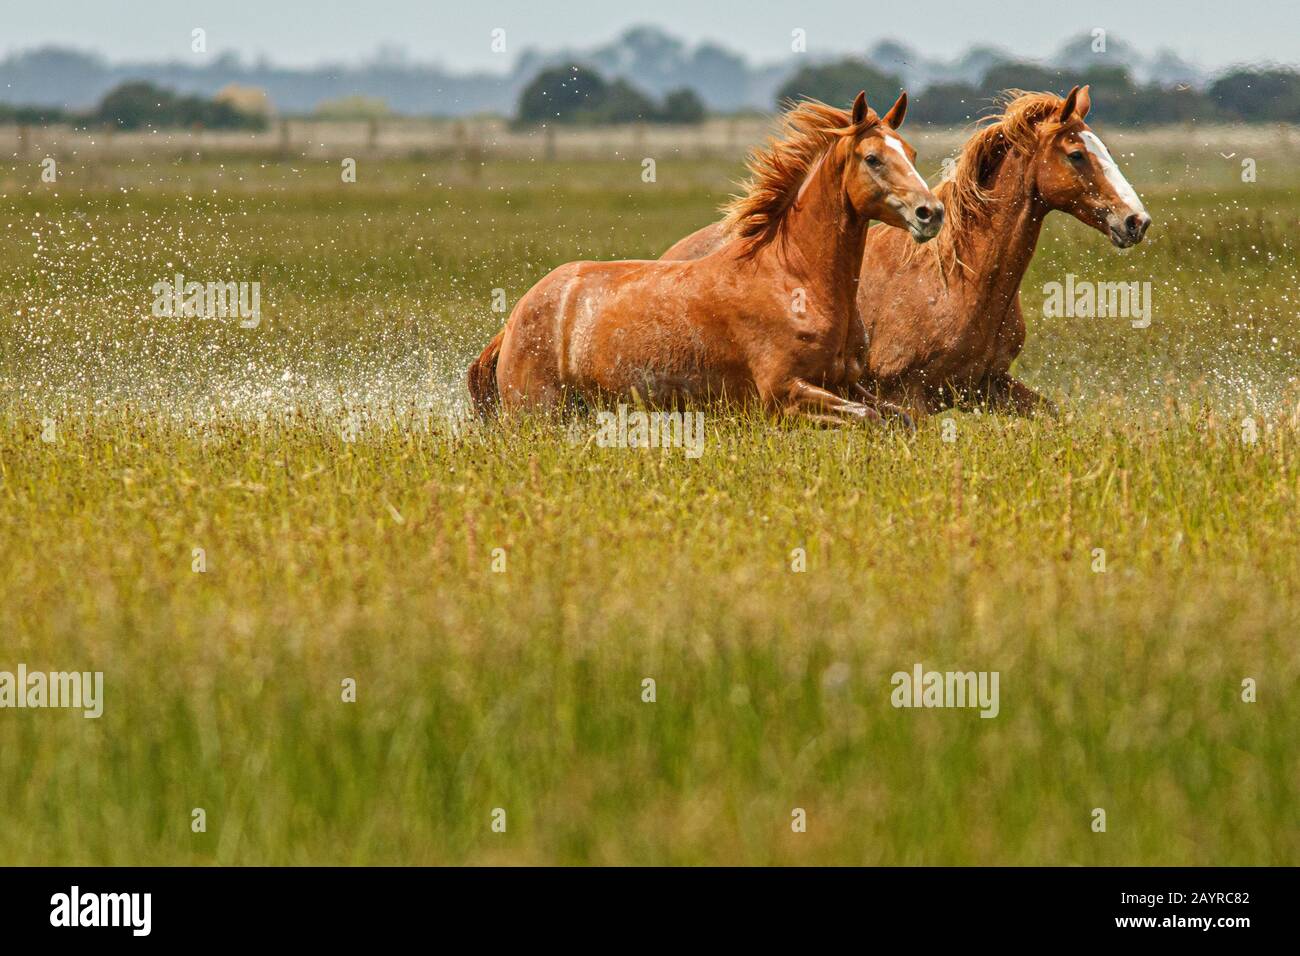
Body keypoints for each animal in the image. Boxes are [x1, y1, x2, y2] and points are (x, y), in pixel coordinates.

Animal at [467, 91, 943, 427]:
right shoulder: (784, 394)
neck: (796, 278)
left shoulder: (848, 382)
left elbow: (901, 419)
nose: (931, 213)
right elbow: (871, 419)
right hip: (538, 415)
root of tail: (515, 317)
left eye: (912, 154)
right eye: (873, 158)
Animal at [661, 85, 1152, 418]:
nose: (1136, 221)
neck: (958, 278)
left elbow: (1055, 418)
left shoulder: (987, 385)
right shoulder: (909, 396)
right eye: (1076, 154)